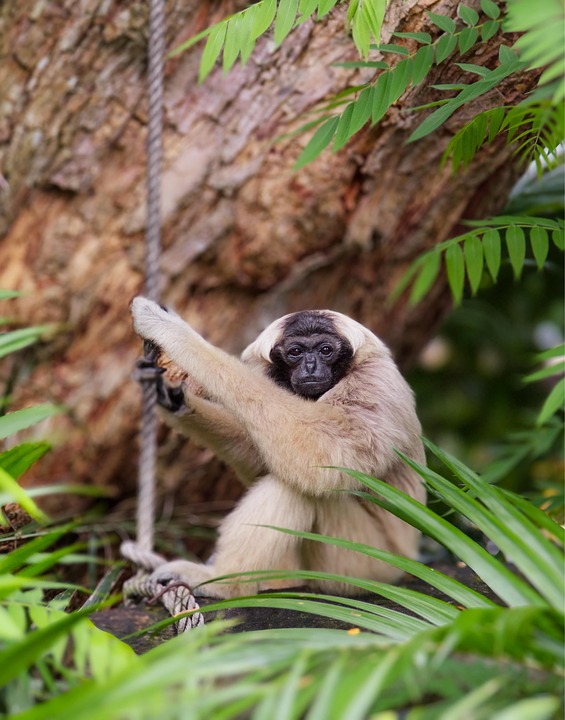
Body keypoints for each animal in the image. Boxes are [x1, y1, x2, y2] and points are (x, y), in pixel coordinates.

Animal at [131, 297, 426, 598]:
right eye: (296, 352)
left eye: (326, 350)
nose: (310, 365)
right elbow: (262, 456)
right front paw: (169, 397)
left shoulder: (376, 385)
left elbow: (322, 452)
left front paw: (172, 331)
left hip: (364, 562)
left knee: (301, 490)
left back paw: (223, 584)